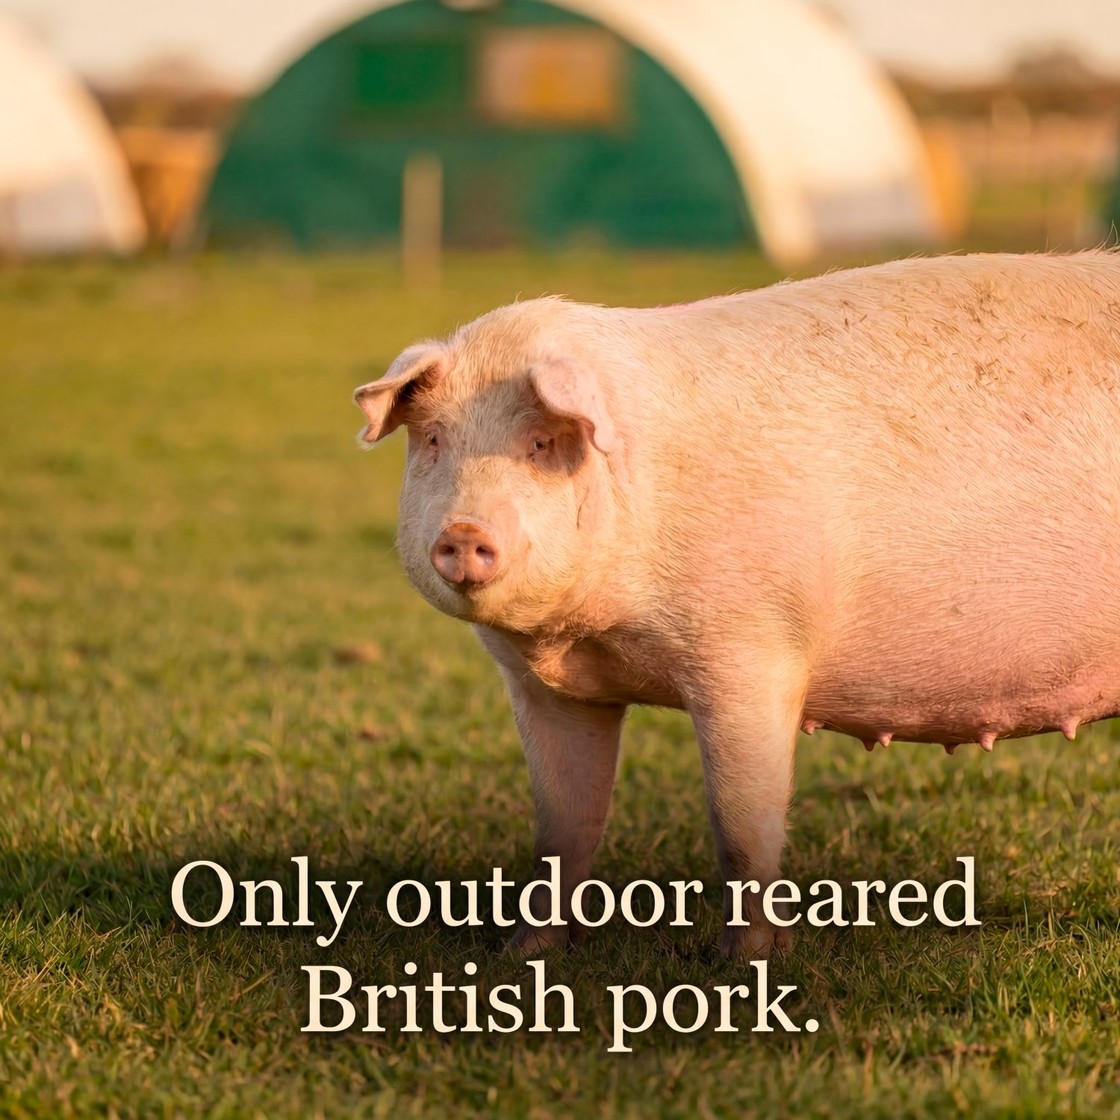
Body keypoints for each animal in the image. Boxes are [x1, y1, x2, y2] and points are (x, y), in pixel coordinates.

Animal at [353, 251, 1120, 958]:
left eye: (540, 443)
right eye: (434, 441)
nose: (462, 534)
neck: (587, 637)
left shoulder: (752, 648)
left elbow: (741, 827)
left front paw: (739, 964)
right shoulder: (547, 690)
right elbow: (563, 830)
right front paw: (523, 955)